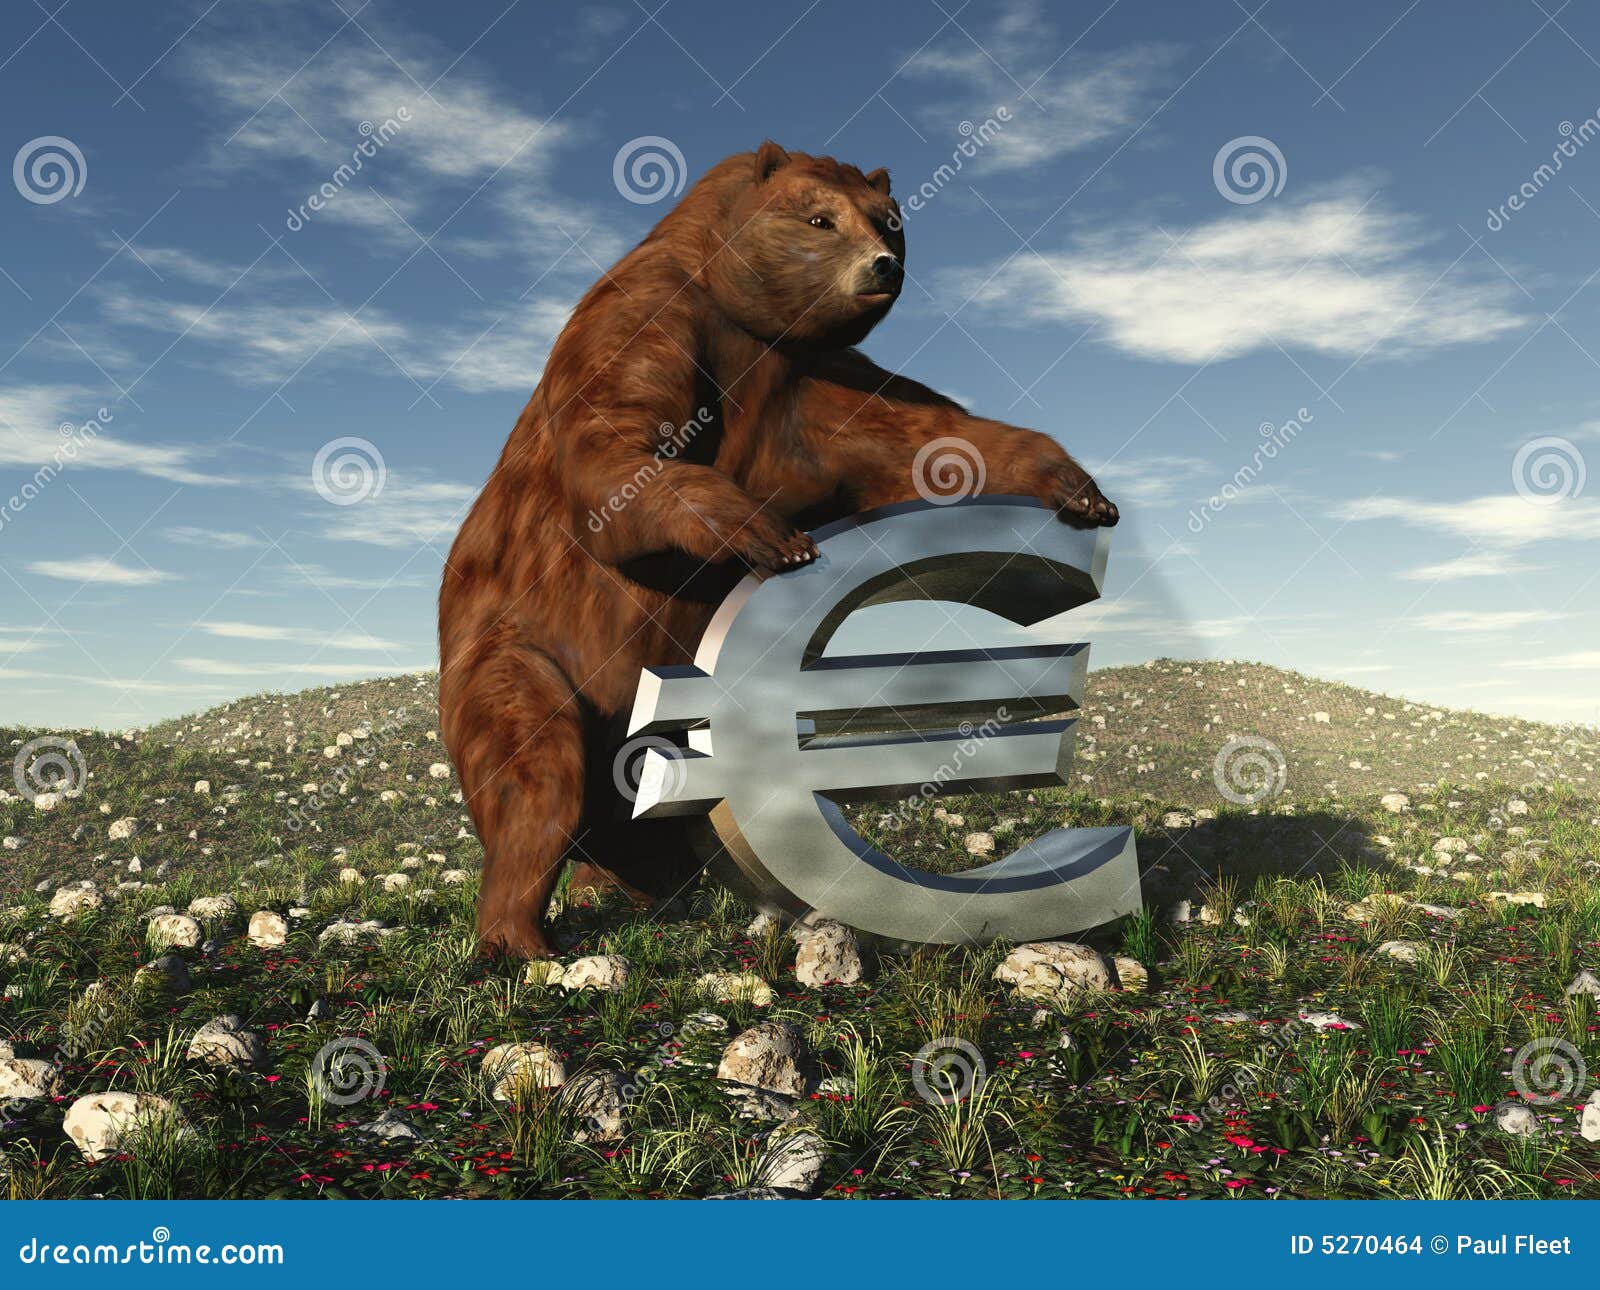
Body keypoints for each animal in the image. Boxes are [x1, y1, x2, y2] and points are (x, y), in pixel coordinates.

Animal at [439, 141, 1118, 959]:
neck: (752, 335)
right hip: (519, 658)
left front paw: (1080, 489)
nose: (883, 265)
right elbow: (616, 453)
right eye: (820, 218)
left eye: (888, 219)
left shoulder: (816, 388)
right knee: (537, 770)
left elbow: (934, 442)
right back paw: (520, 937)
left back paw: (632, 894)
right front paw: (759, 529)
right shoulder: (652, 318)